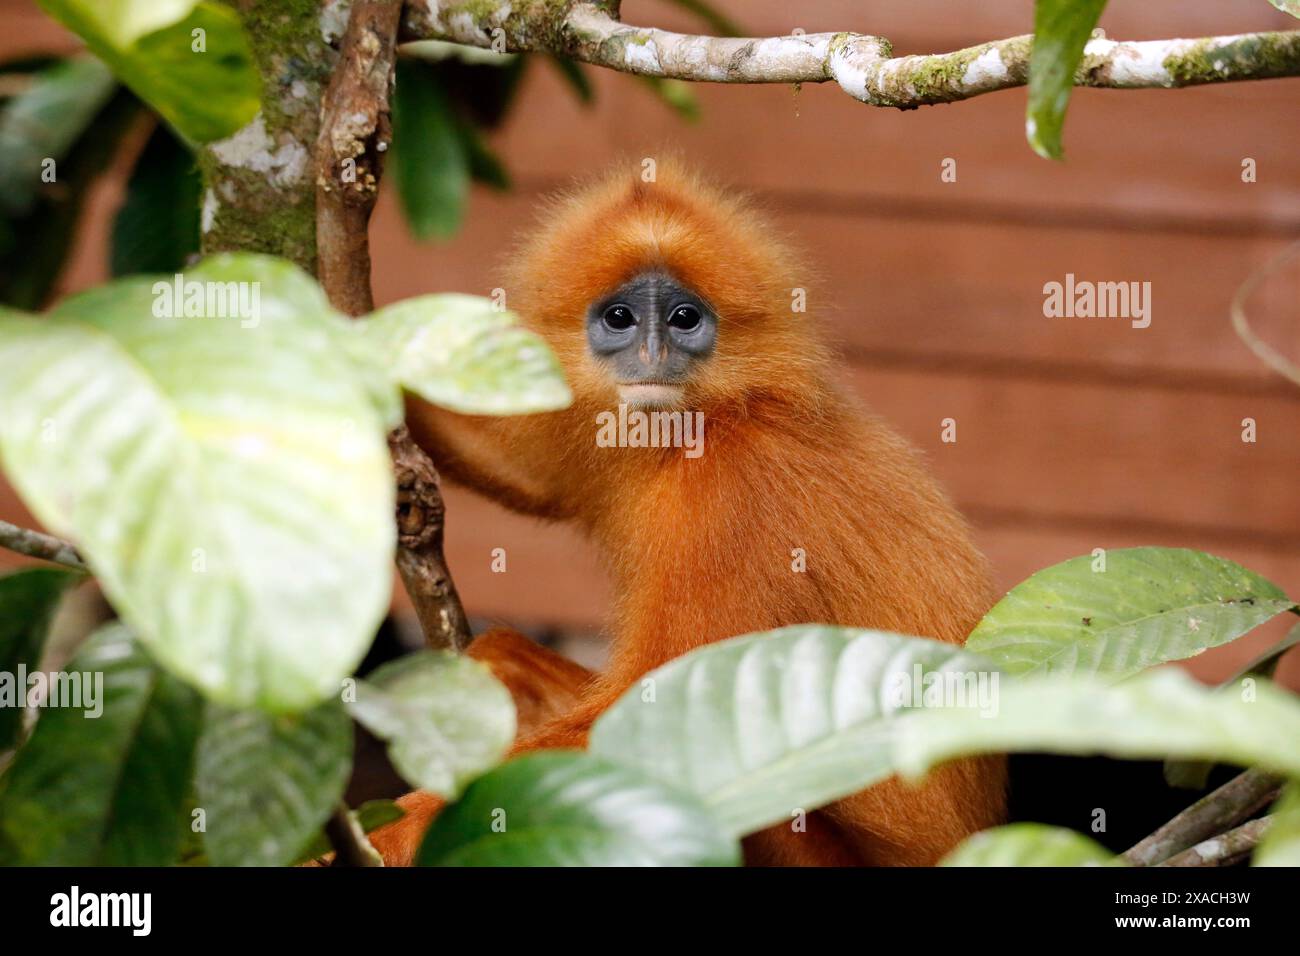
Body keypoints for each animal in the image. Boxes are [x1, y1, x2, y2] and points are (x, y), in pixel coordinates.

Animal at [368, 159, 1007, 866]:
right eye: (621, 317)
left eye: (682, 318)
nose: (653, 354)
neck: (707, 427)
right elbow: (527, 470)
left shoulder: (731, 499)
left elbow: (662, 720)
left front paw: (387, 830)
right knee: (502, 655)